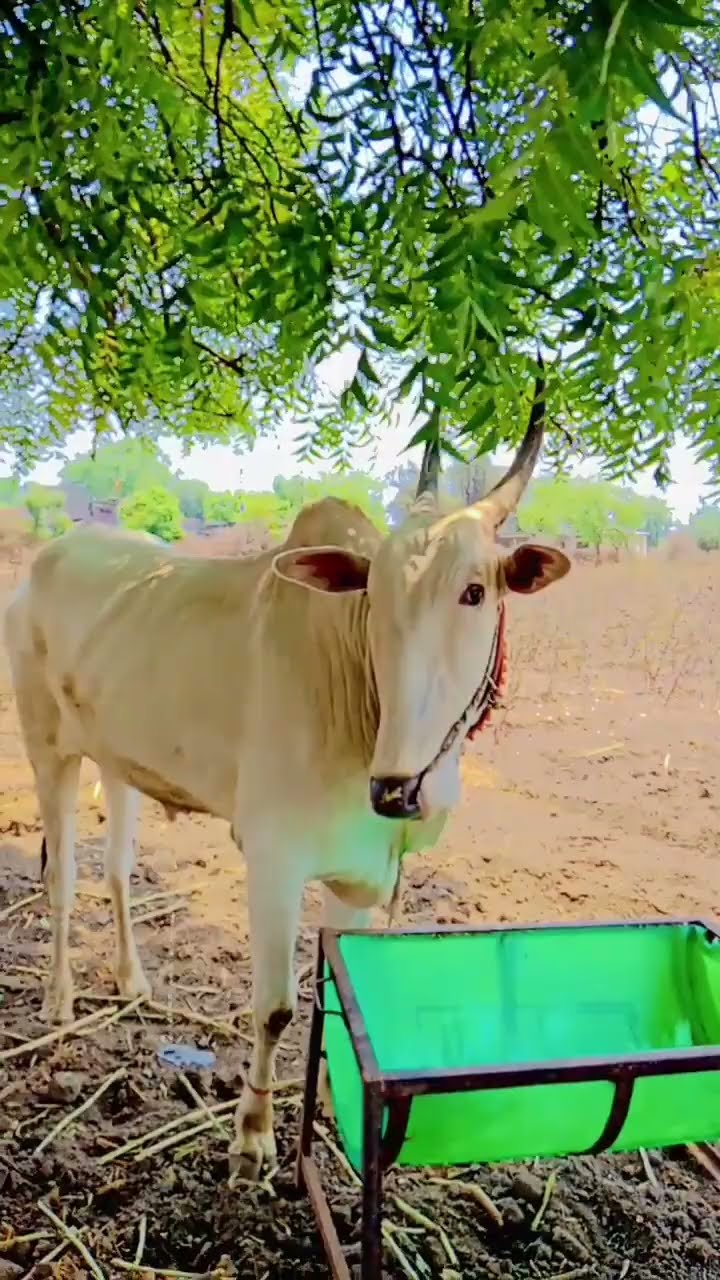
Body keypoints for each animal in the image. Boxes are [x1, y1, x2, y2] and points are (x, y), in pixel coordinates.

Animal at [3, 376, 570, 1177]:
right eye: (373, 597)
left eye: (474, 592)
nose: (397, 789)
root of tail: (53, 555)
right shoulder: (272, 859)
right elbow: (275, 1005)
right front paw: (252, 1137)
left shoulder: (362, 876)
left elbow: (338, 995)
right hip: (46, 744)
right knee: (63, 877)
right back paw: (59, 999)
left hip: (115, 759)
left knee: (116, 869)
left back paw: (131, 980)